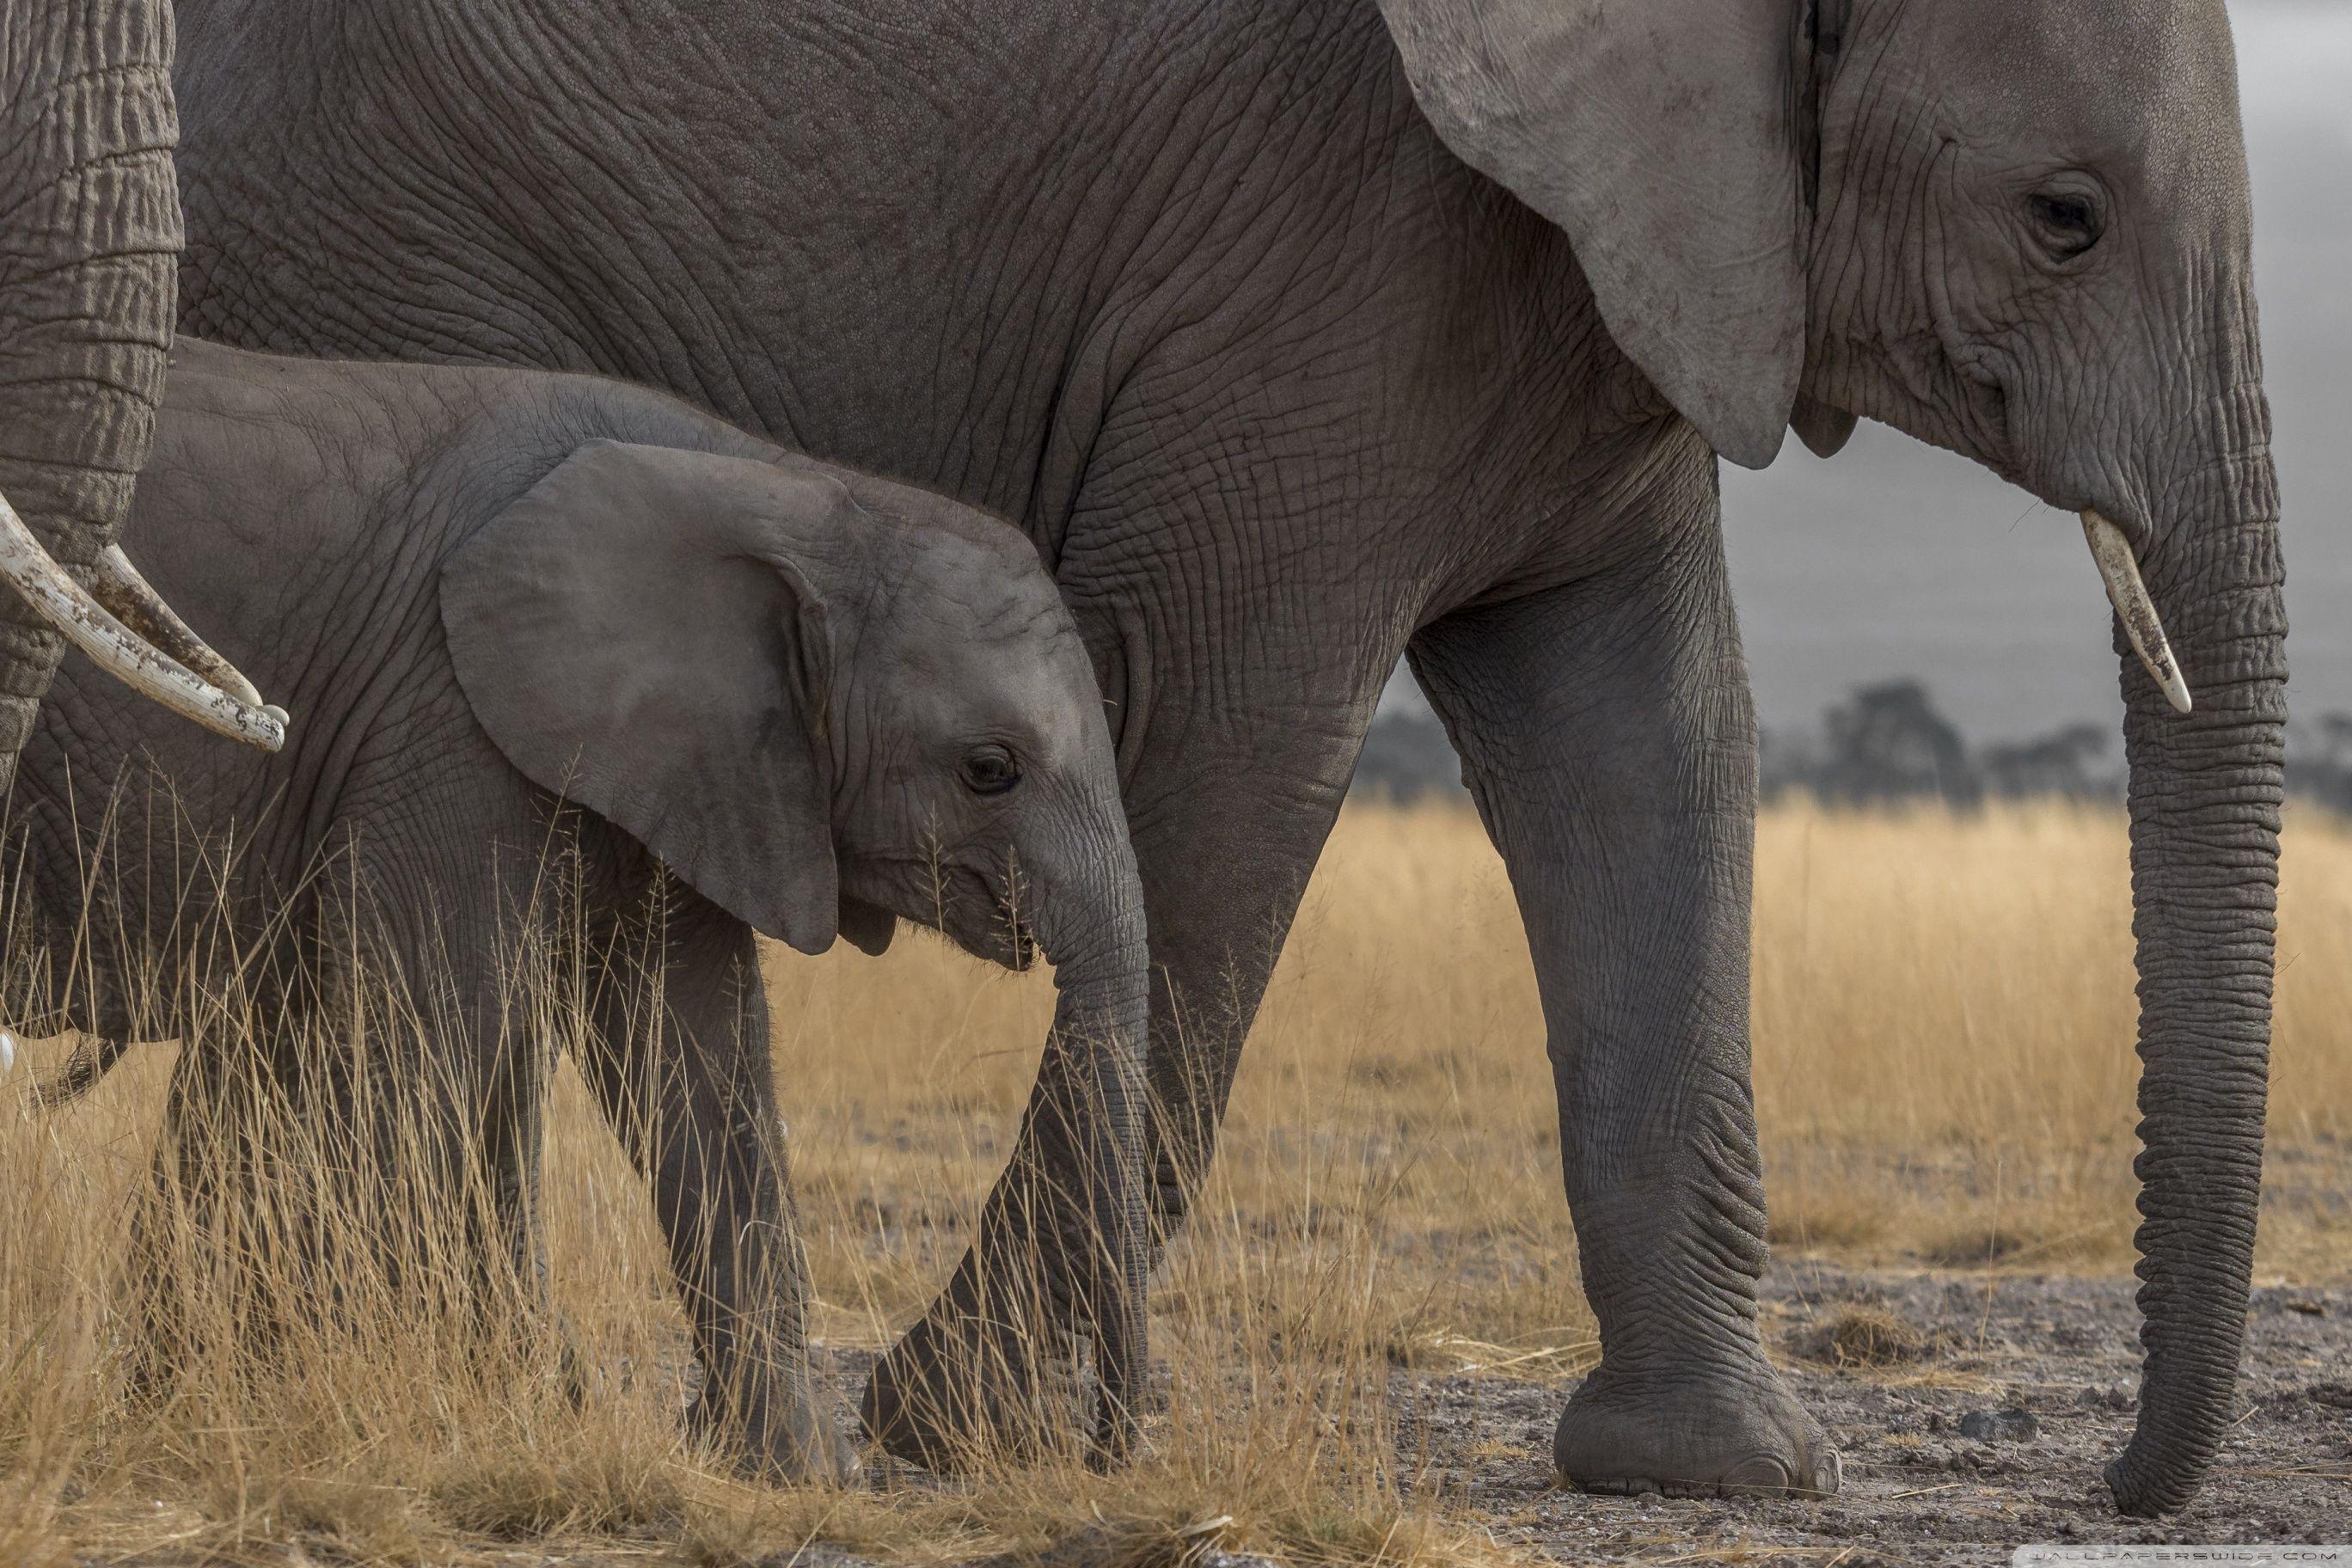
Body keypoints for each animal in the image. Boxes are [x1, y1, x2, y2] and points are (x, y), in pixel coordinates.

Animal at [17, 338, 1153, 1476]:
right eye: (989, 770)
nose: (1108, 1447)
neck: (794, 492)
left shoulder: (697, 759)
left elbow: (700, 1054)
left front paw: (789, 1472)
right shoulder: (447, 722)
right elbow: (426, 1043)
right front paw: (337, 1413)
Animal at [167, 0, 2284, 1513]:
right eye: (2065, 217)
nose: (2117, 1486)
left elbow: (1659, 745)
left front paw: (1715, 1472)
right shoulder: (1327, 275)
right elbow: (1238, 762)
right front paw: (970, 1431)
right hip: (366, 245)